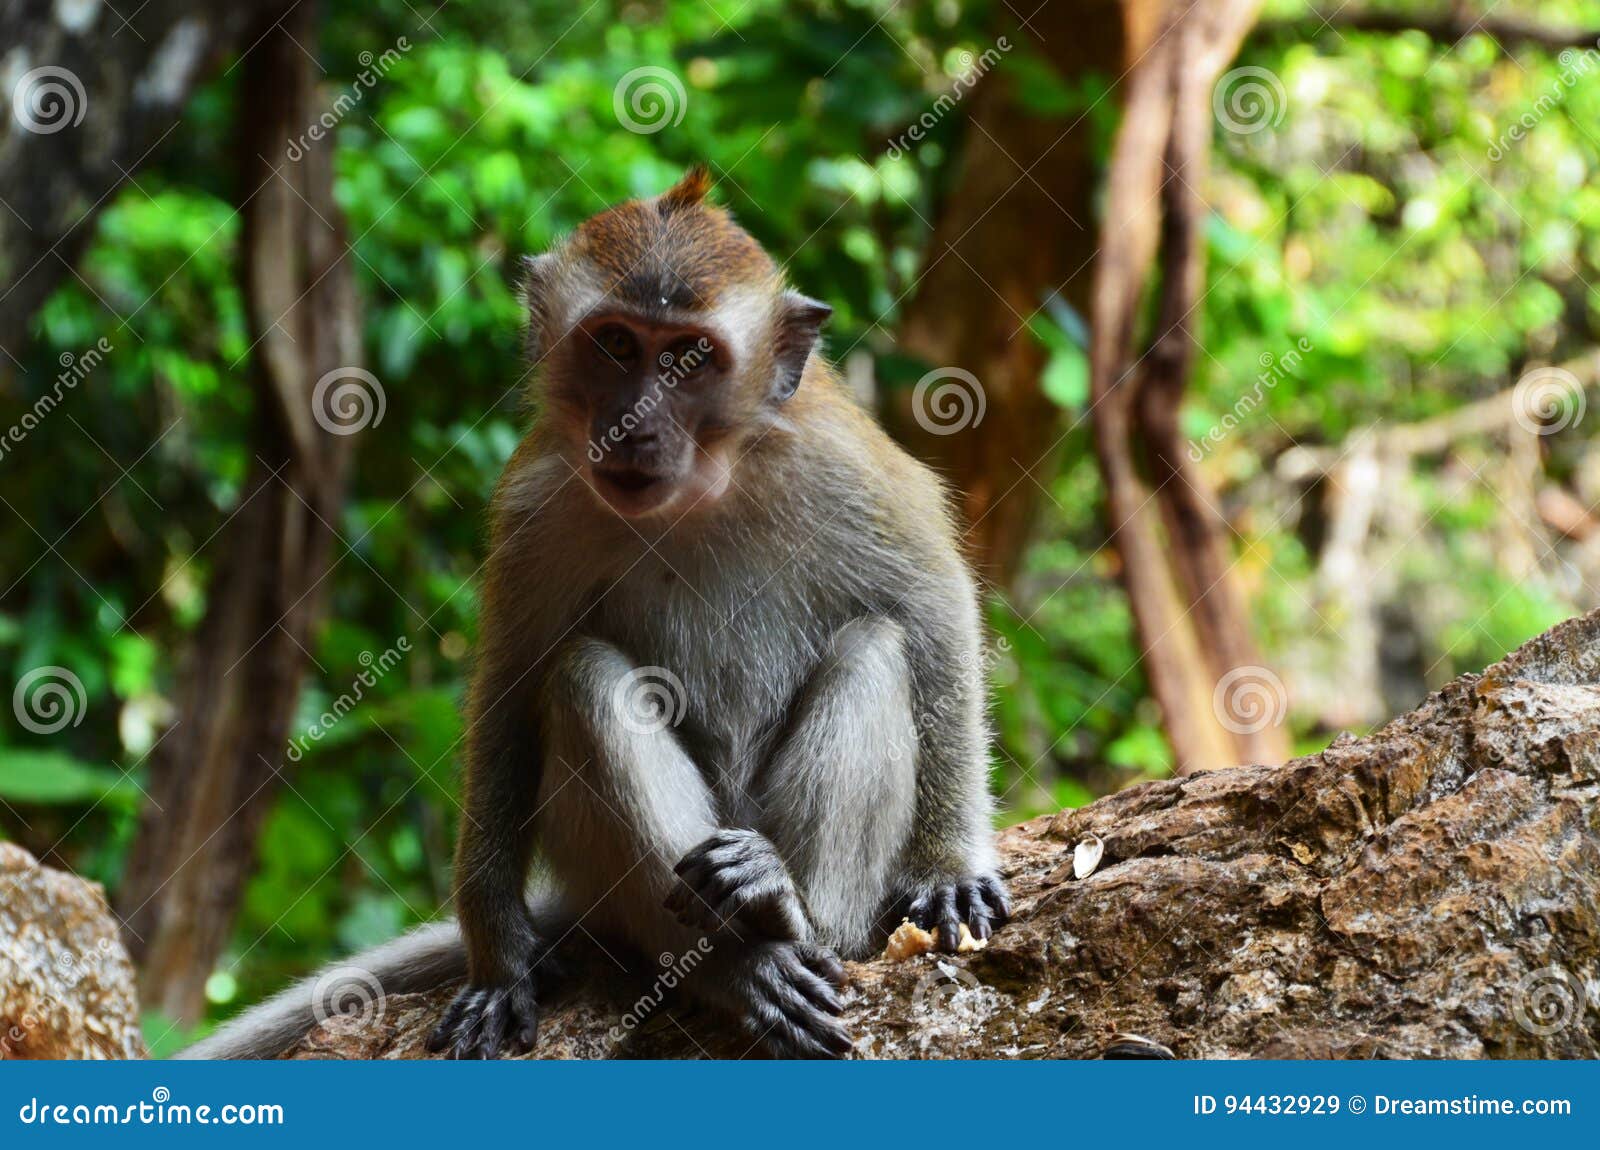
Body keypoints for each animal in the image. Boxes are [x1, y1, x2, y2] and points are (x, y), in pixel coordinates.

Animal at [180, 167, 1008, 1061]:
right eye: (616, 344)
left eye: (688, 357)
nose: (635, 422)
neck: (702, 488)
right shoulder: (537, 503)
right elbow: (512, 687)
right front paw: (500, 954)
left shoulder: (841, 462)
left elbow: (932, 606)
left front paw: (947, 868)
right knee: (583, 681)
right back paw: (736, 966)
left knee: (873, 649)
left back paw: (792, 908)